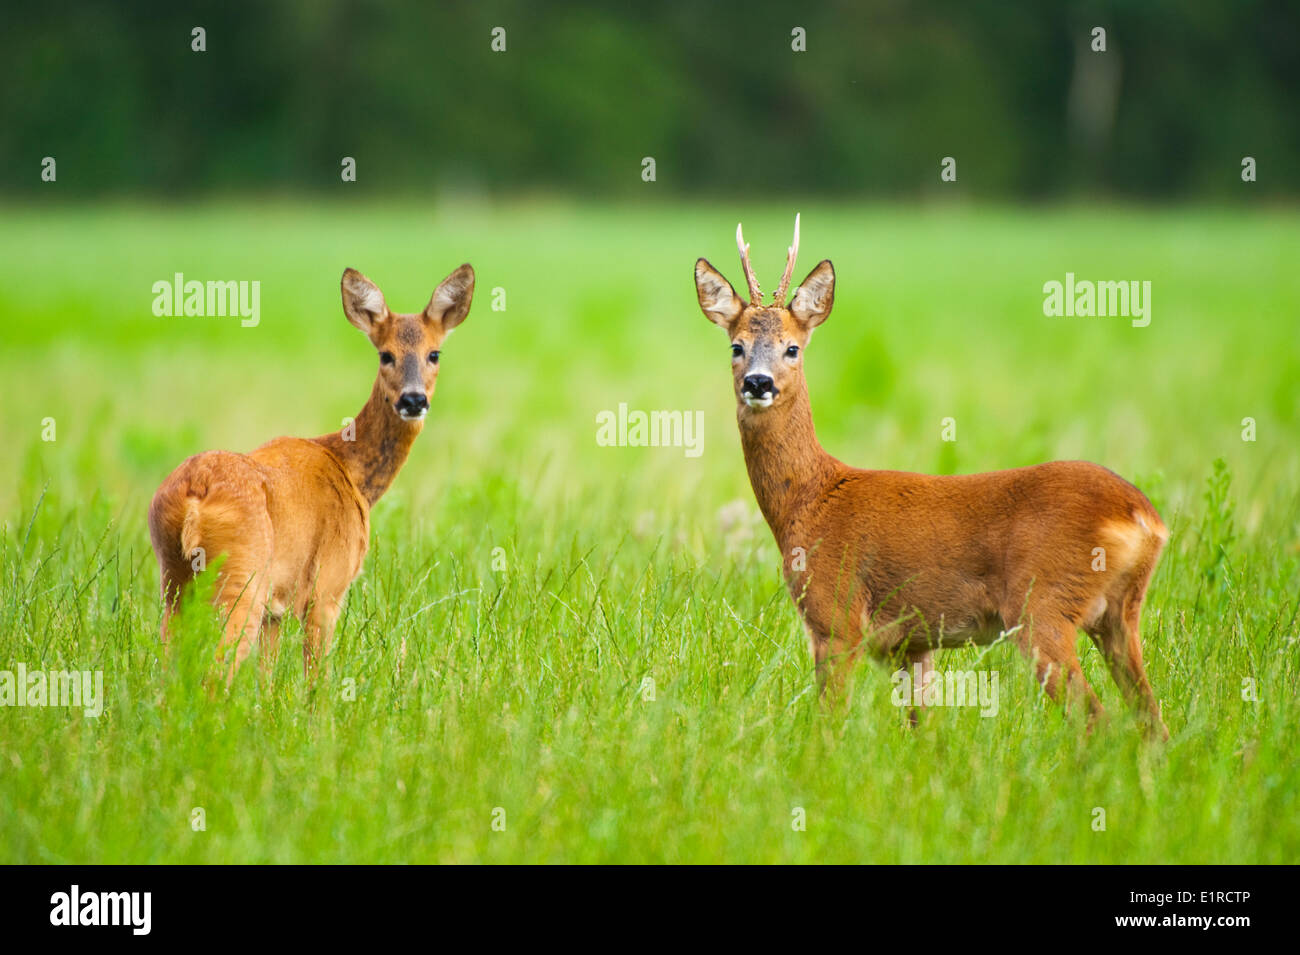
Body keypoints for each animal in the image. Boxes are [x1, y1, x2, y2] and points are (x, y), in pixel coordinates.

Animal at [148, 264, 475, 682]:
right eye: (385, 355)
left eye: (434, 353)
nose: (414, 400)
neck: (349, 468)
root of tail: (194, 495)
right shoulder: (328, 587)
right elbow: (315, 678)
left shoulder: (276, 608)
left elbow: (267, 680)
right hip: (240, 576)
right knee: (218, 670)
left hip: (174, 578)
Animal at [694, 216, 1169, 738]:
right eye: (736, 346)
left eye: (792, 348)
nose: (758, 382)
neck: (809, 501)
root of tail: (1144, 518)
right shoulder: (914, 643)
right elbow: (923, 725)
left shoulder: (835, 616)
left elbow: (829, 721)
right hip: (1121, 616)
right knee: (1152, 722)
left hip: (1043, 606)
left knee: (1096, 718)